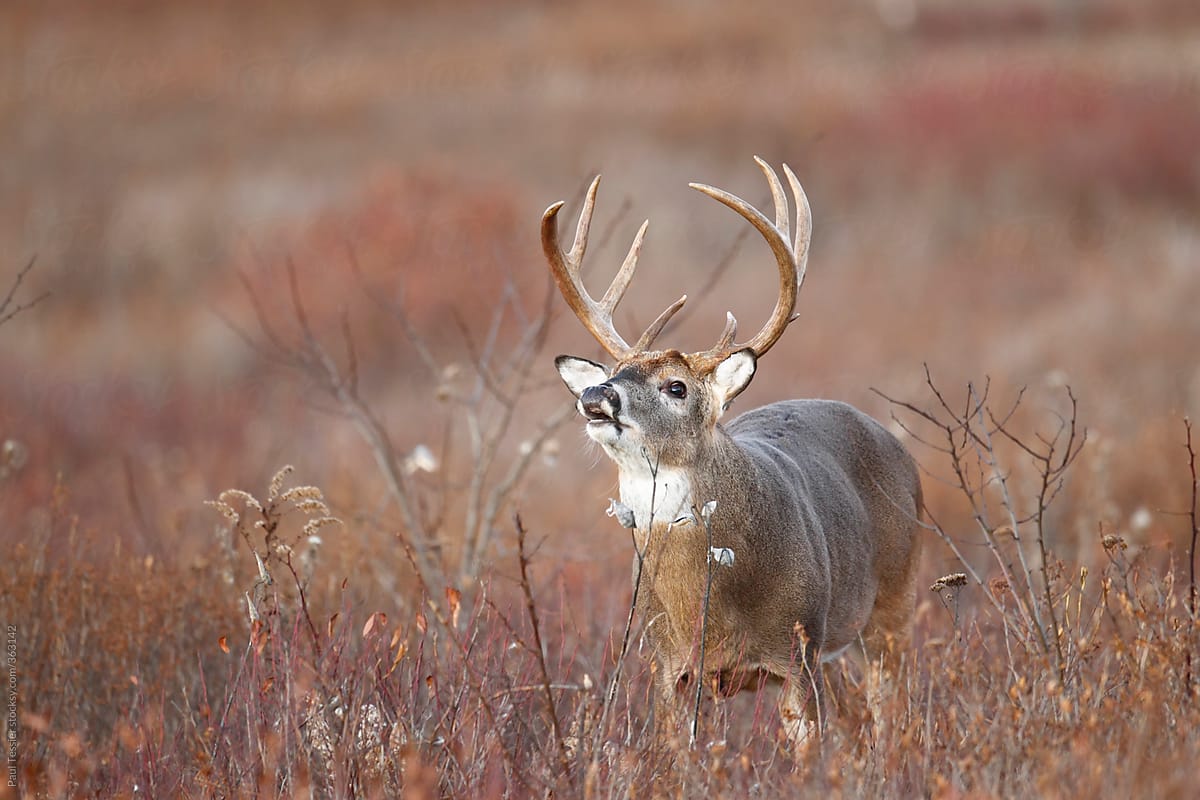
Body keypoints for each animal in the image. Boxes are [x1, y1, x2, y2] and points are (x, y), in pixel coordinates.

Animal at [544, 158, 923, 749]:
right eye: (615, 373)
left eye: (676, 386)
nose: (596, 396)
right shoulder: (666, 665)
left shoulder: (799, 649)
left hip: (892, 605)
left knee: (891, 708)